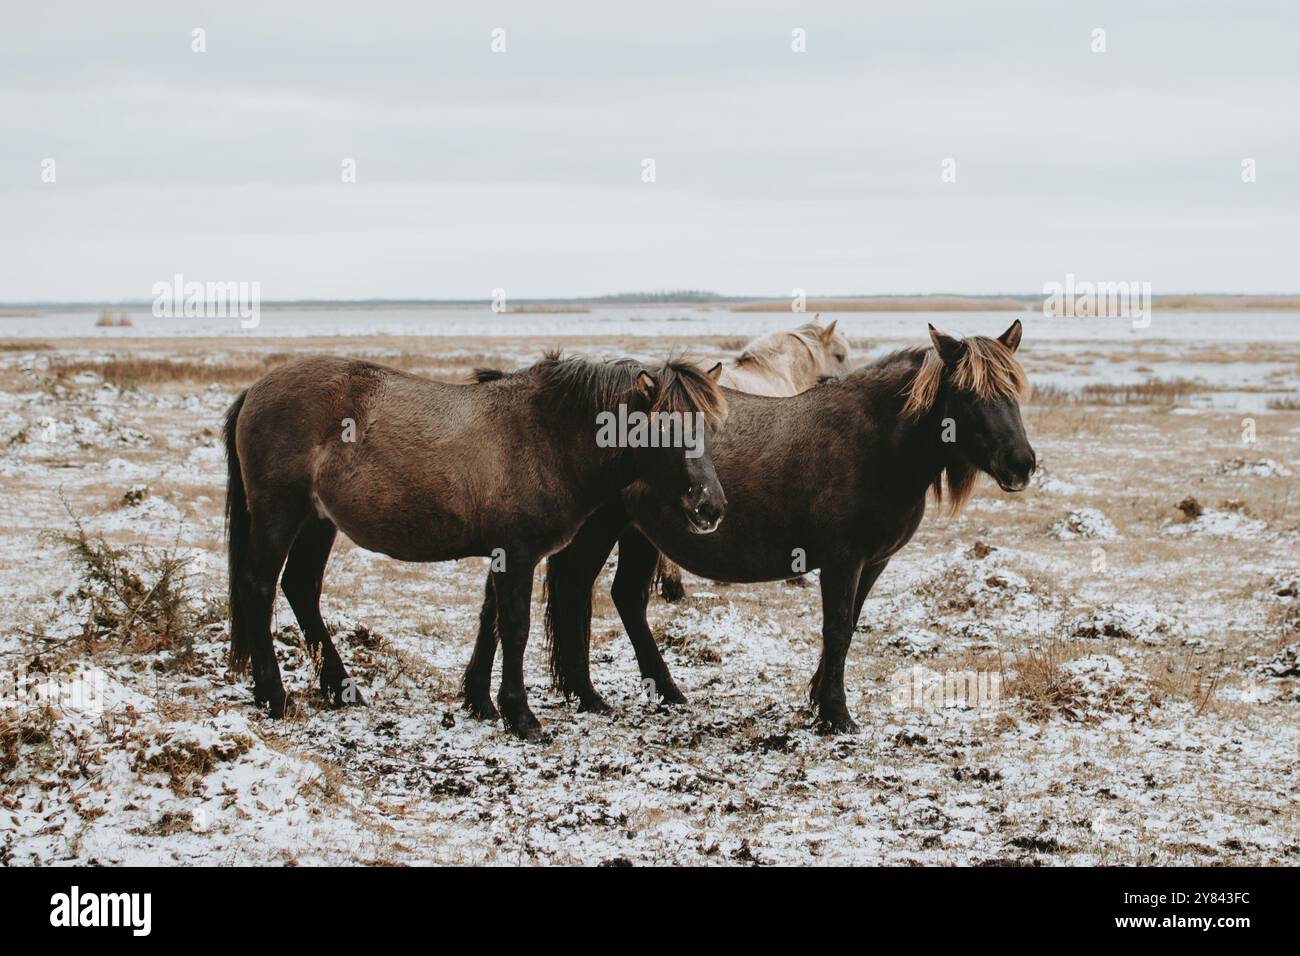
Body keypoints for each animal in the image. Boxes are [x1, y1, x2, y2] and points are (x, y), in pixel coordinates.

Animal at [223, 351, 728, 739]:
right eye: (664, 429)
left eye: (708, 429)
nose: (711, 506)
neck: (546, 434)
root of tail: (255, 390)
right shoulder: (519, 553)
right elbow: (516, 627)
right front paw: (521, 716)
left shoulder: (503, 555)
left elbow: (491, 621)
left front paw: (481, 703)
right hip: (279, 512)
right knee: (259, 586)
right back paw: (274, 695)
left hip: (316, 521)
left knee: (301, 589)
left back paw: (339, 688)